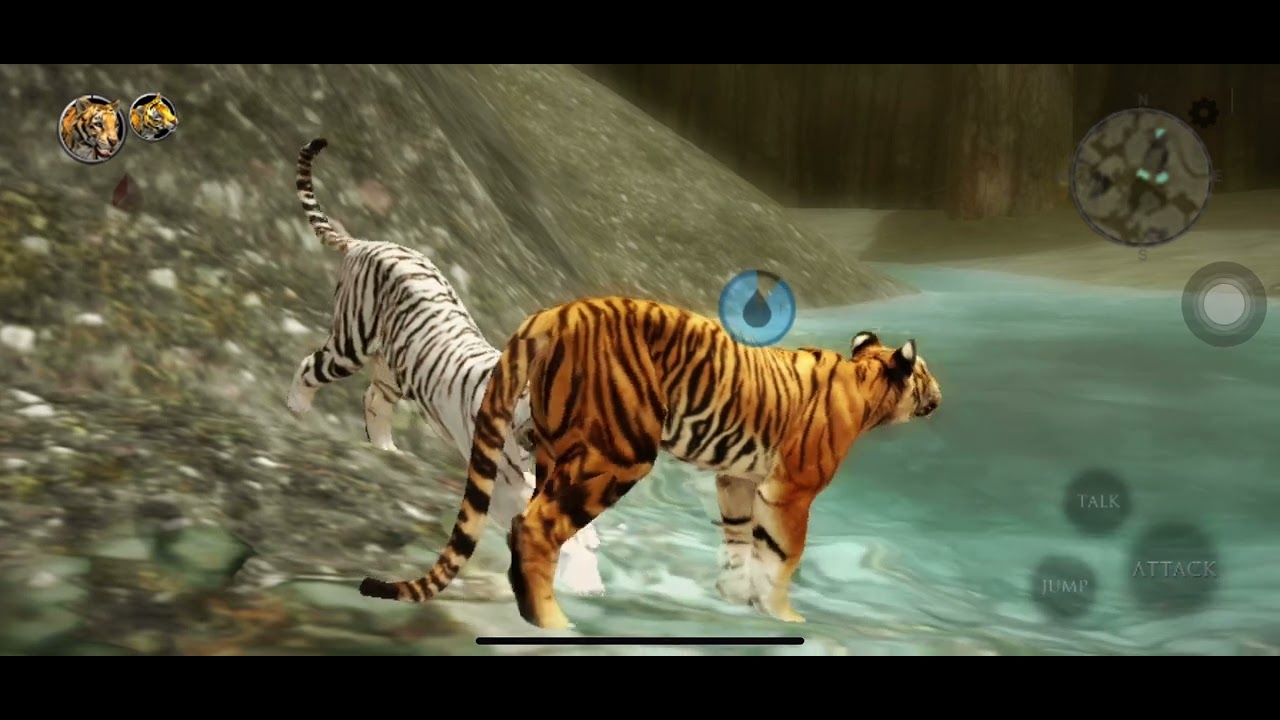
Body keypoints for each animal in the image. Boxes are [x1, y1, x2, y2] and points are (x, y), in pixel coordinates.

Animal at [286, 137, 606, 597]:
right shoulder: (504, 491)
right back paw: (297, 407)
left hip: (393, 368)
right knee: (311, 365)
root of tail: (365, 242)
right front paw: (582, 578)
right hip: (352, 341)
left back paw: (387, 450)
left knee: (374, 400)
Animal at [358, 296, 943, 629]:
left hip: (553, 450)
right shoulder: (790, 491)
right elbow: (782, 555)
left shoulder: (738, 479)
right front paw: (784, 616)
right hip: (618, 454)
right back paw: (555, 624)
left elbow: (740, 543)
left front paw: (735, 601)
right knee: (534, 527)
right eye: (925, 373)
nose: (941, 393)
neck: (865, 385)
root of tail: (555, 312)